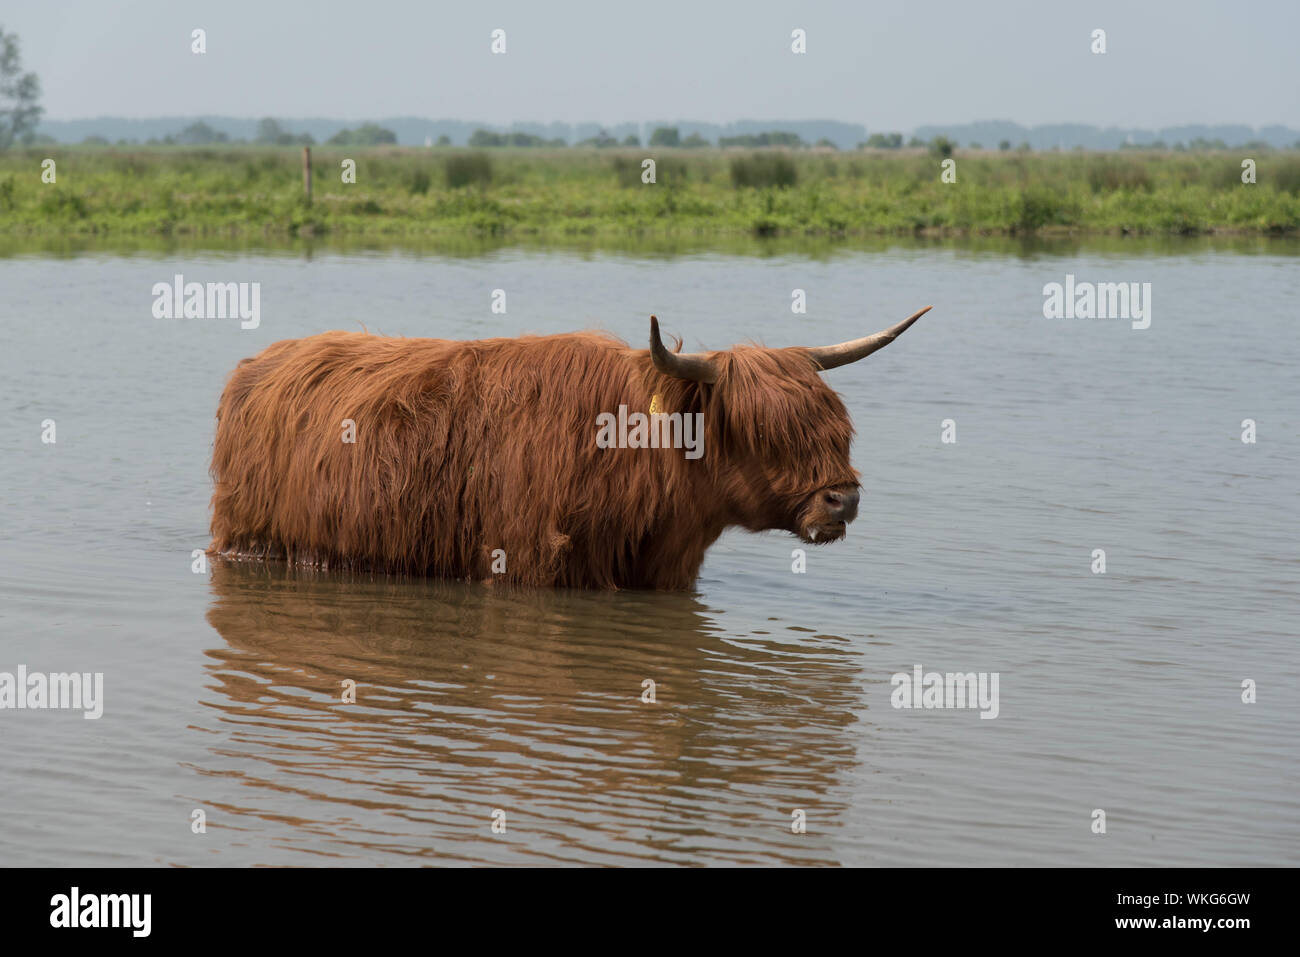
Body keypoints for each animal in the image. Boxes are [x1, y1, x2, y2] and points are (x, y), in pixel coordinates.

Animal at [209, 307, 929, 589]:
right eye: (764, 432)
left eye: (835, 426)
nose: (843, 499)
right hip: (257, 538)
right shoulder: (530, 565)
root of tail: (262, 361)